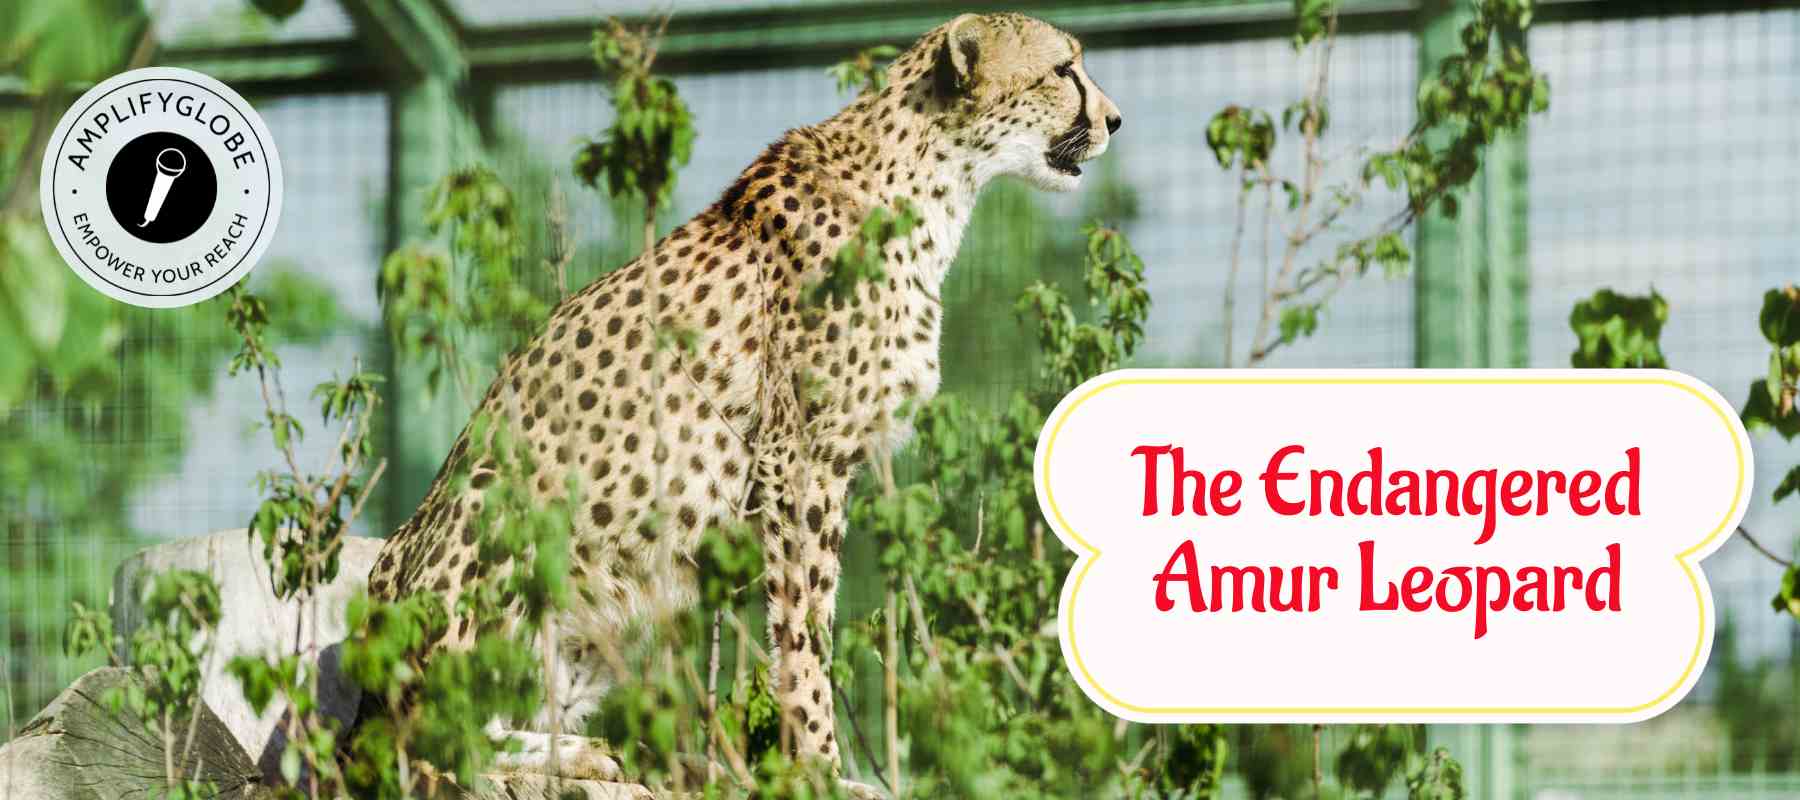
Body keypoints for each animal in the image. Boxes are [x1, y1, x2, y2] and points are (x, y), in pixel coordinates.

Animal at [362, 11, 1121, 793]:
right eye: (1064, 70)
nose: (1114, 121)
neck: (933, 180)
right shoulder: (800, 460)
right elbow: (804, 626)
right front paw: (819, 766)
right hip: (505, 504)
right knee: (437, 739)